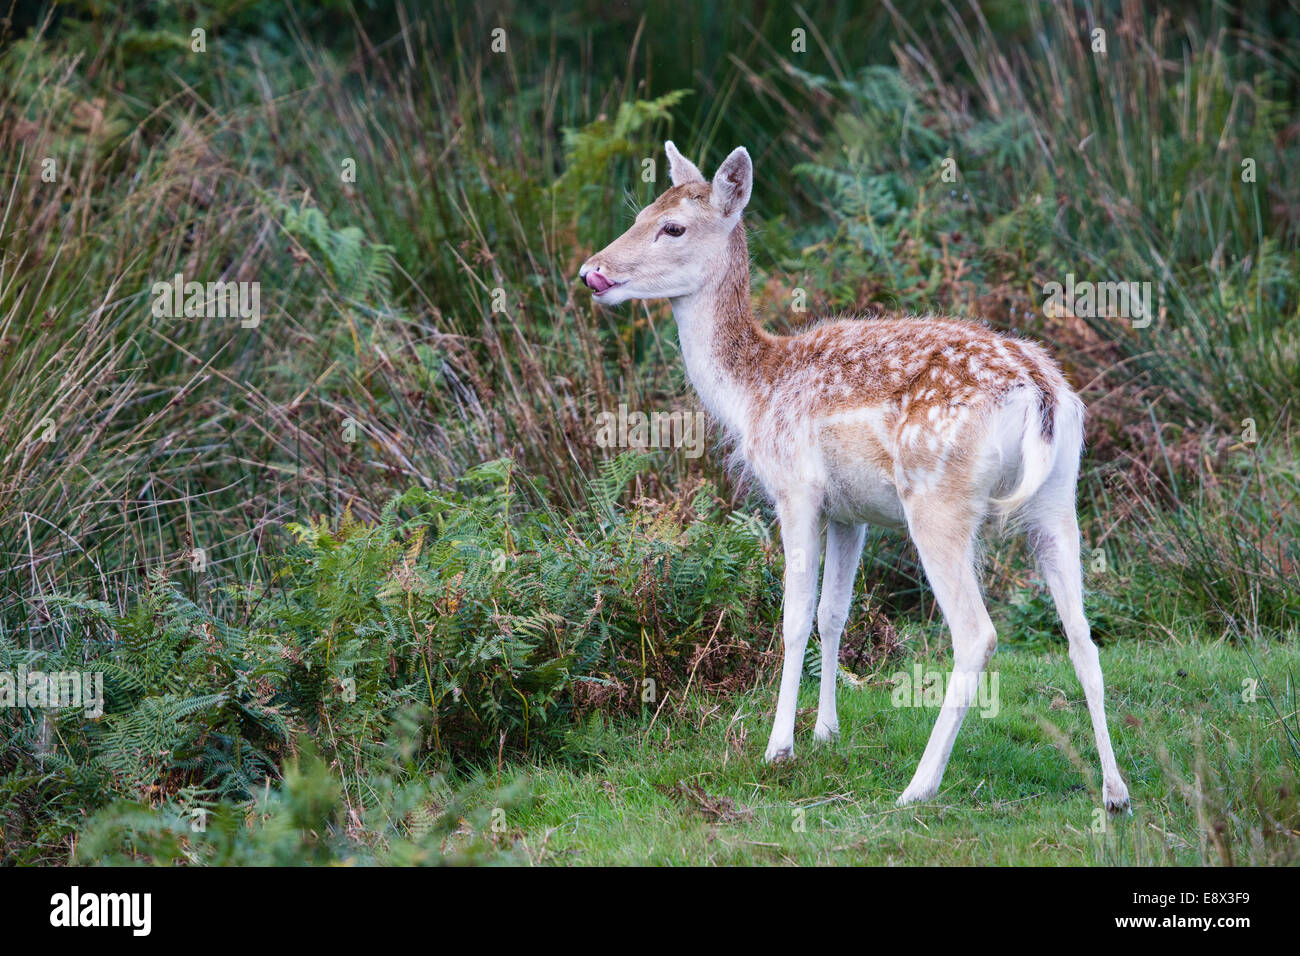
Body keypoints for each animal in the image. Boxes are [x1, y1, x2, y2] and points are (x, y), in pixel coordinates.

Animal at [578, 142, 1130, 812]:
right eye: (641, 213)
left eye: (673, 227)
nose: (593, 271)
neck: (753, 392)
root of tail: (1044, 396)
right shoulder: (851, 512)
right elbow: (833, 612)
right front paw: (826, 733)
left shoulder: (795, 490)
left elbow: (793, 616)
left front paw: (779, 748)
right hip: (1058, 499)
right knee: (1082, 636)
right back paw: (1115, 791)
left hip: (938, 499)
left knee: (977, 634)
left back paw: (918, 787)